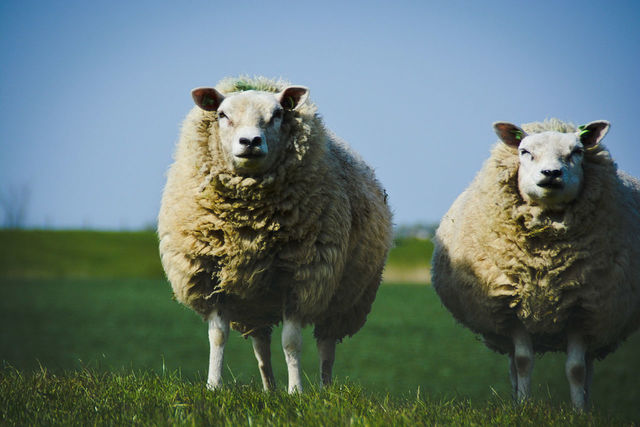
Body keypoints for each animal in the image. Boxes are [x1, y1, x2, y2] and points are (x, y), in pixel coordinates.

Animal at [158, 76, 393, 393]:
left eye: (278, 114)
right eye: (222, 114)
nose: (250, 142)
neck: (249, 224)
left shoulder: (301, 279)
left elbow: (291, 343)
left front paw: (296, 391)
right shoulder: (213, 279)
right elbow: (217, 337)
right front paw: (213, 386)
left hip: (341, 298)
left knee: (326, 346)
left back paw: (324, 389)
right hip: (253, 302)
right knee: (261, 346)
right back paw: (269, 389)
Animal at [431, 118, 640, 410]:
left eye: (577, 152)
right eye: (525, 151)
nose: (551, 173)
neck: (545, 258)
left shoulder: (582, 308)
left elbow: (576, 369)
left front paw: (578, 412)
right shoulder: (512, 308)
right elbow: (522, 362)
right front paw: (522, 408)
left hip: (599, 321)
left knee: (587, 365)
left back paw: (586, 405)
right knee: (514, 364)